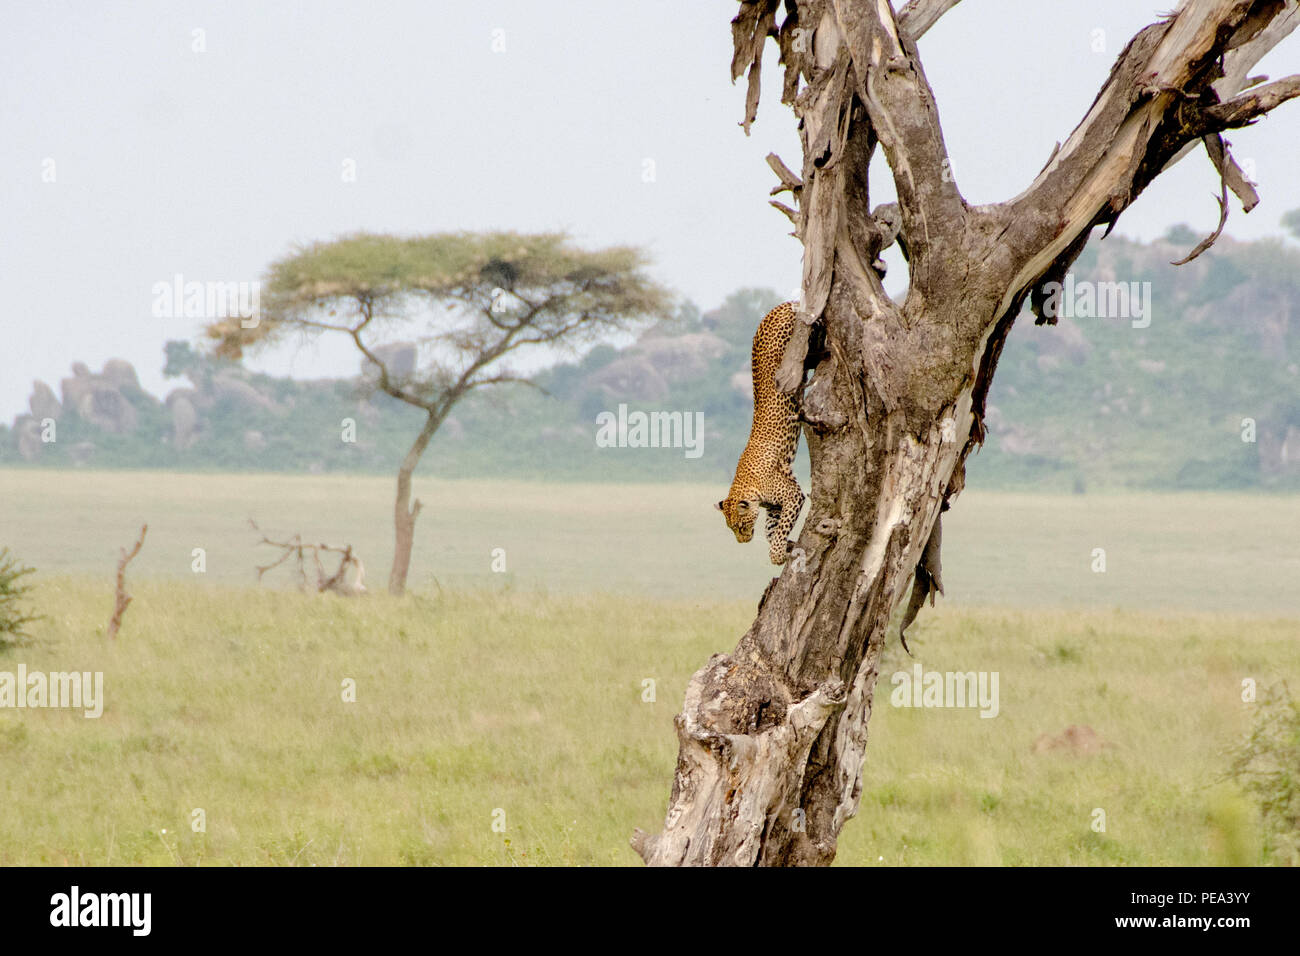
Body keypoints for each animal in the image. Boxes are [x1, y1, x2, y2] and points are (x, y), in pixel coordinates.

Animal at [716, 301, 805, 565]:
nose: (742, 541)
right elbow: (770, 530)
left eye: (740, 525)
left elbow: (779, 529)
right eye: (731, 528)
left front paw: (778, 554)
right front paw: (784, 546)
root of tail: (776, 309)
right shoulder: (775, 507)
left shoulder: (793, 495)